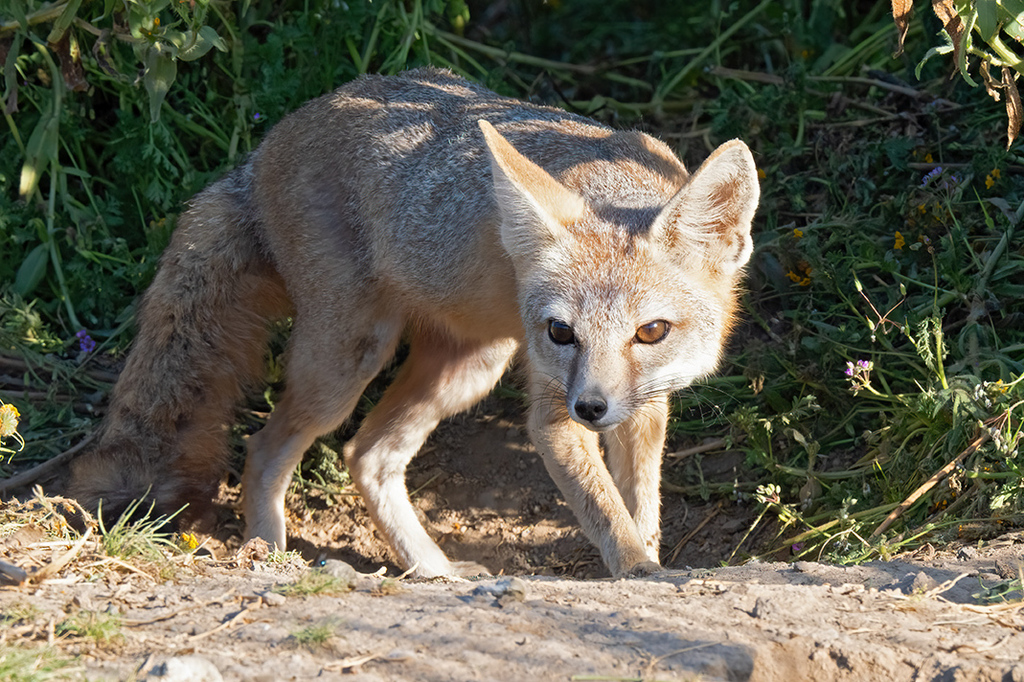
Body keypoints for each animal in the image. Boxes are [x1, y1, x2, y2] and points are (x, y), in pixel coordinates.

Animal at [69, 67, 759, 579]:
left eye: (651, 332)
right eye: (561, 333)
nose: (590, 407)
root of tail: (265, 148)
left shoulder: (644, 404)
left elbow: (640, 502)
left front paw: (650, 557)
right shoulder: (551, 416)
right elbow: (606, 511)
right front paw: (639, 570)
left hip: (466, 369)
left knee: (366, 456)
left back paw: (431, 570)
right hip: (350, 362)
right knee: (265, 448)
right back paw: (272, 551)